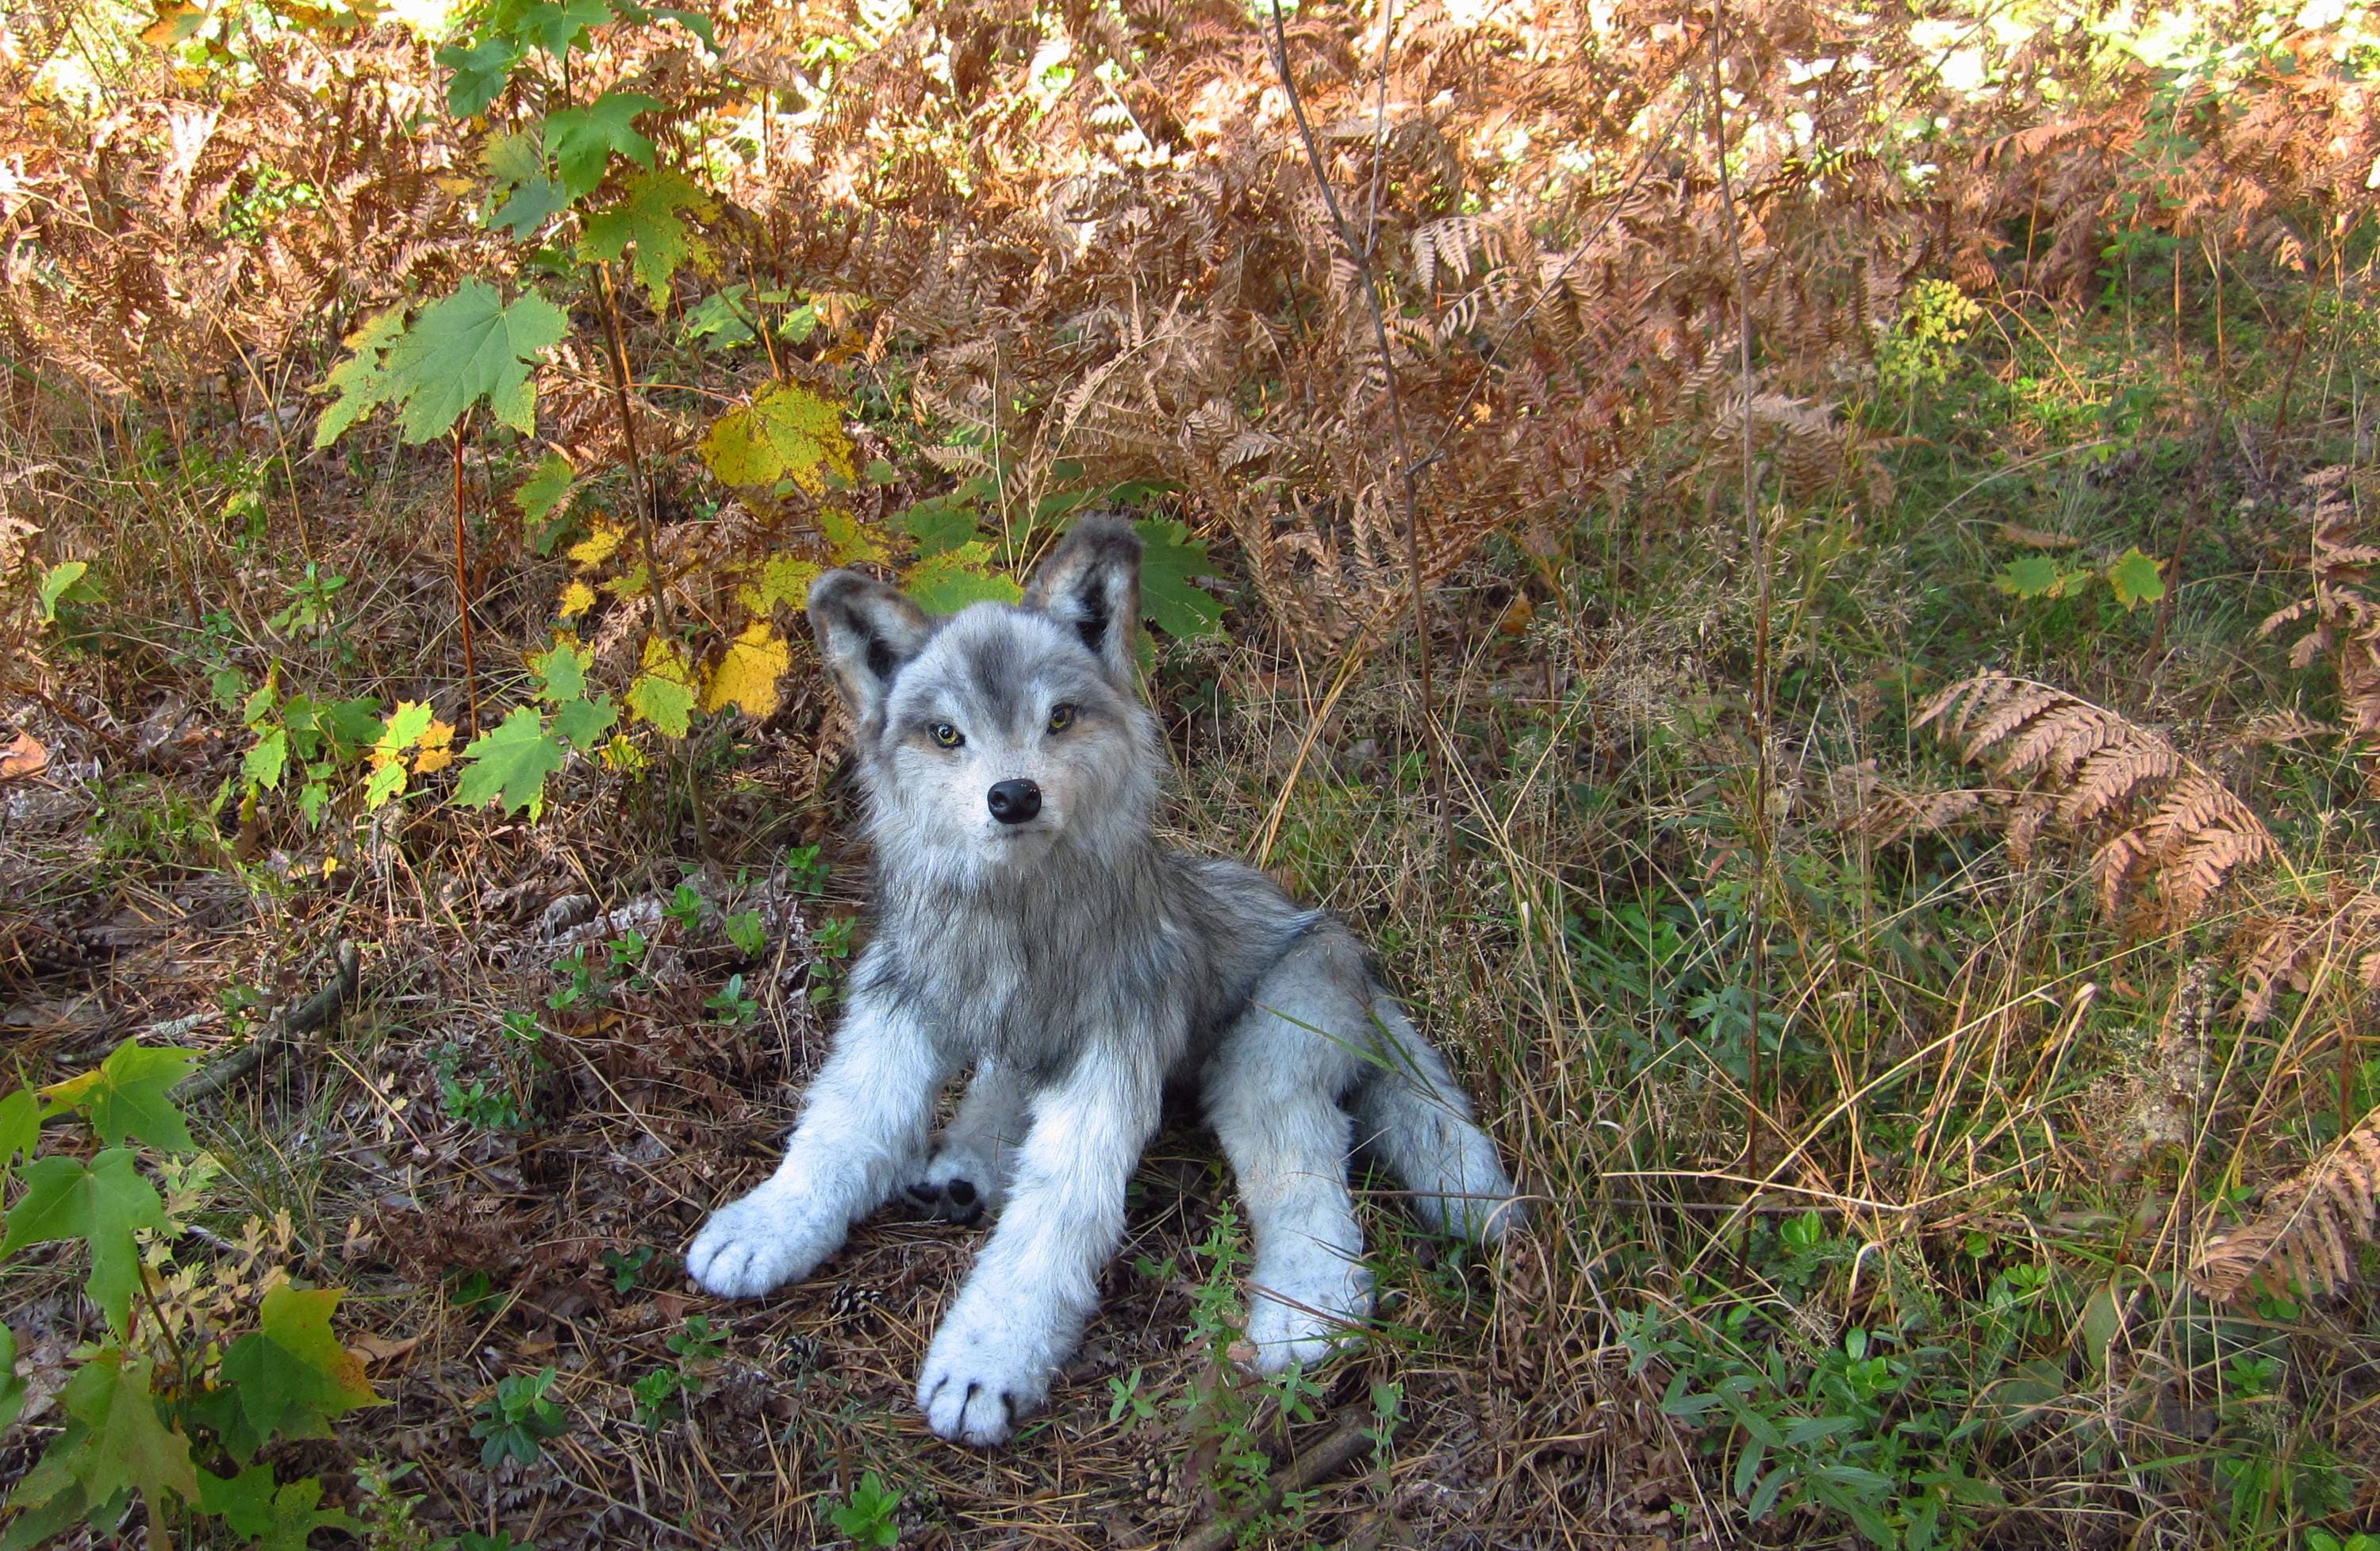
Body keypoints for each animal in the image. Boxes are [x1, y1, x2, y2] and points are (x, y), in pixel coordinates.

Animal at [686, 517, 1521, 1446]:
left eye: (1059, 717)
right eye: (947, 735)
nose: (1013, 796)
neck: (1018, 917)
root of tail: (1353, 957)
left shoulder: (1105, 1067)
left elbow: (1052, 1219)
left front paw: (988, 1358)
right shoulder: (900, 1006)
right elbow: (839, 1130)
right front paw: (770, 1224)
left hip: (1262, 1066)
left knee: (1306, 1193)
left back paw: (1306, 1316)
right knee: (1002, 1080)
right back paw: (963, 1168)